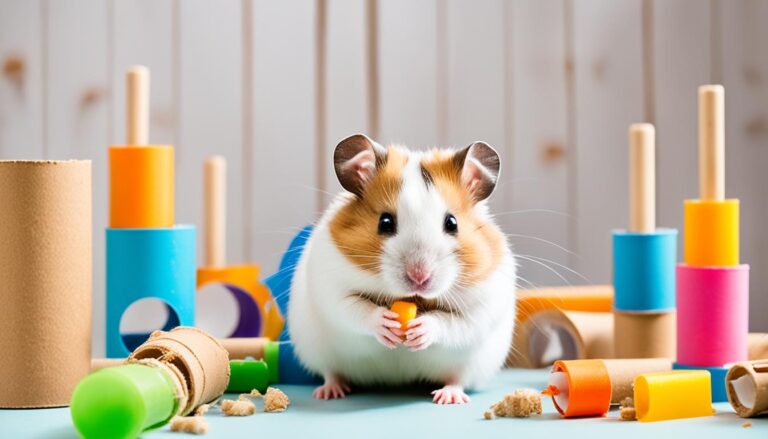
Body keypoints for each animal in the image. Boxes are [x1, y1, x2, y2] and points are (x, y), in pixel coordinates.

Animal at [288, 134, 516, 404]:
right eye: (385, 222)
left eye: (452, 223)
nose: (420, 278)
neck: (412, 297)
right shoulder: (331, 289)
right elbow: (355, 309)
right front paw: (387, 325)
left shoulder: (482, 305)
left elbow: (453, 322)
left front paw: (420, 330)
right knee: (331, 371)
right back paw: (330, 392)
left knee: (457, 378)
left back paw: (448, 396)